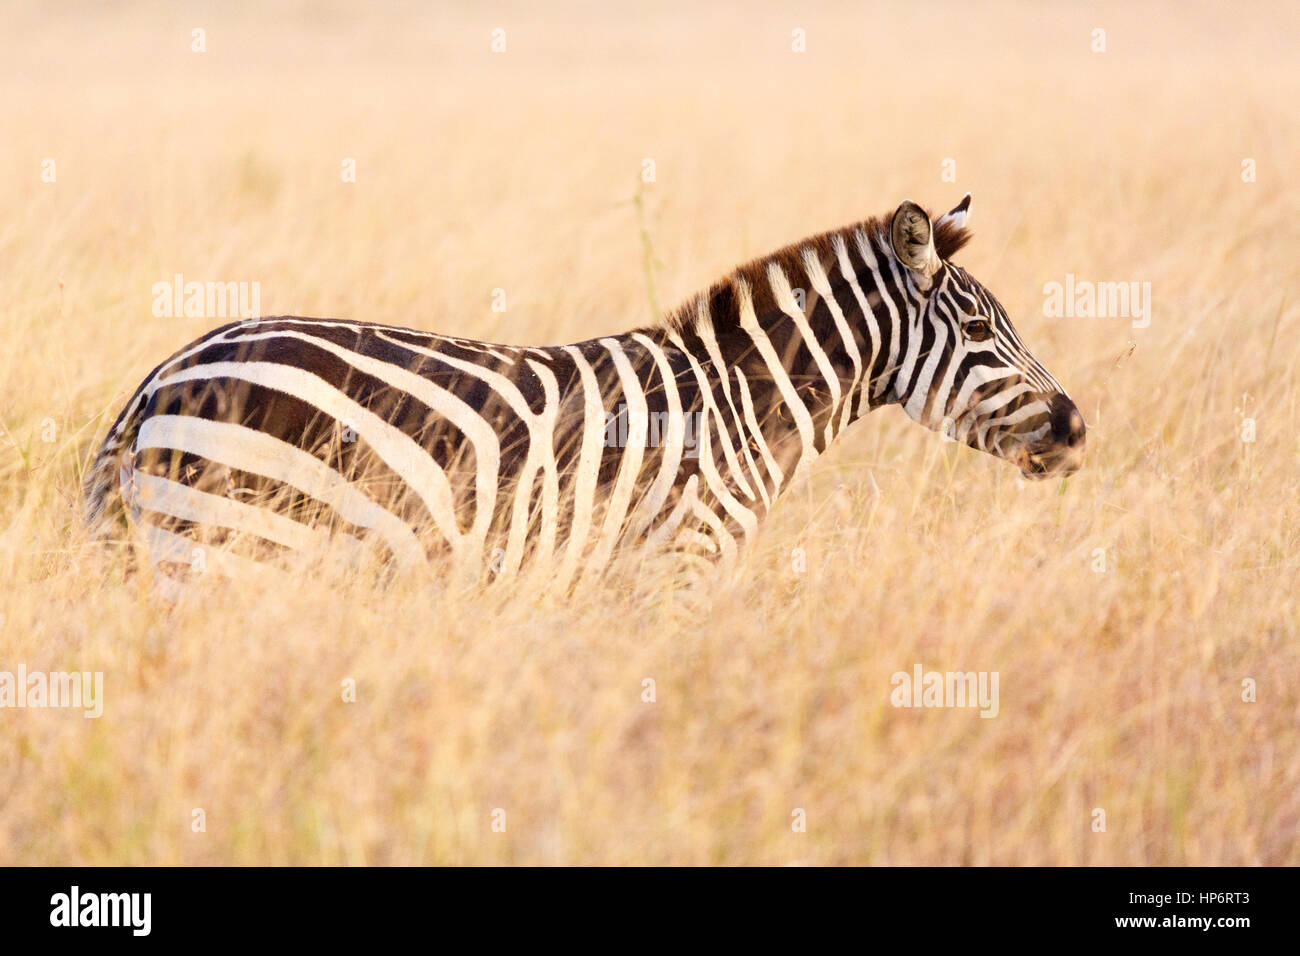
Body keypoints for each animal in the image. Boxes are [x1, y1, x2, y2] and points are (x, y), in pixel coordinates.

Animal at [84, 195, 1085, 590]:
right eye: (982, 332)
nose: (1078, 429)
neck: (739, 404)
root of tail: (161, 378)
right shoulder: (678, 563)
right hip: (234, 549)